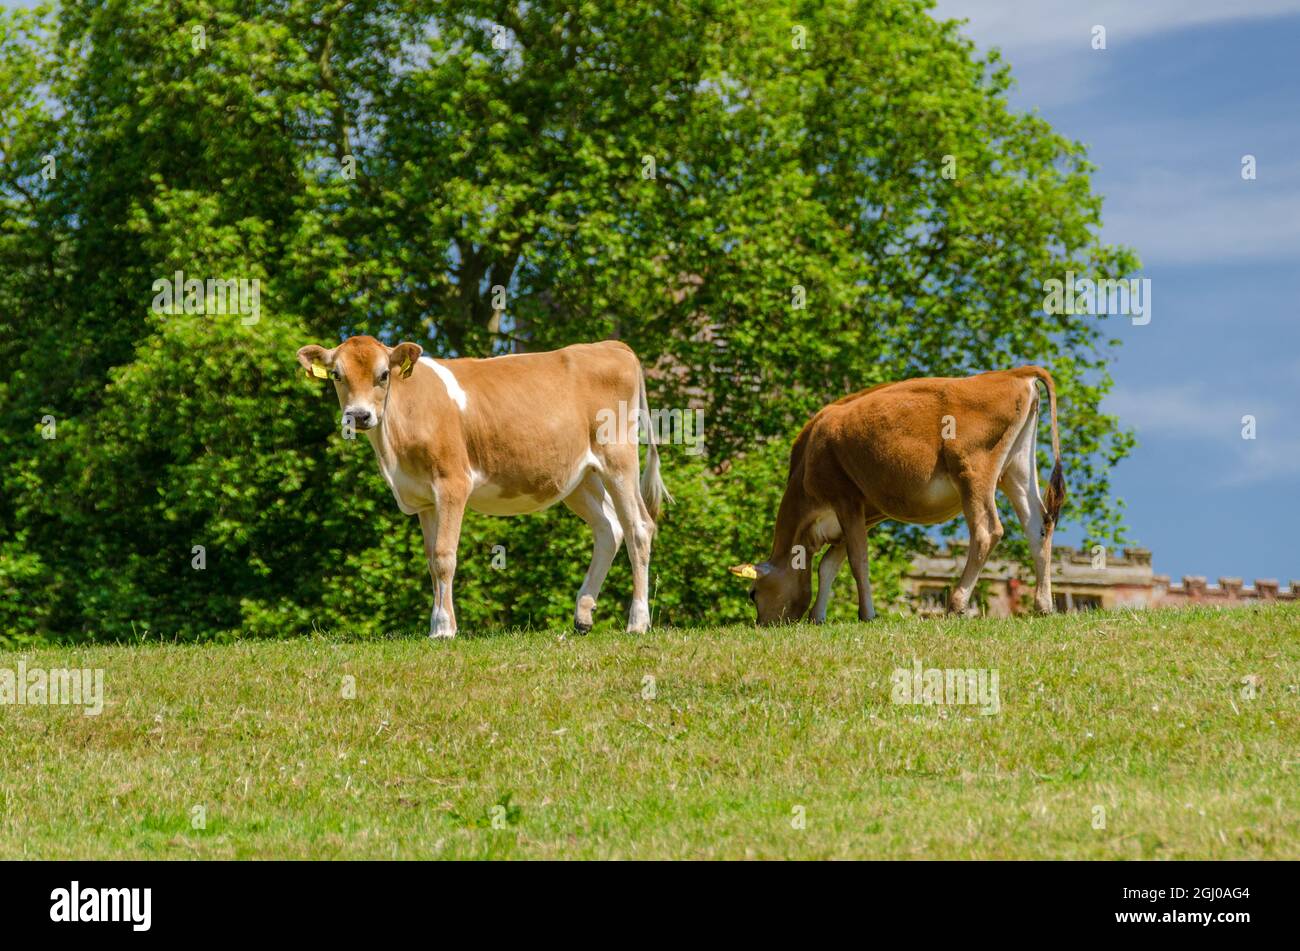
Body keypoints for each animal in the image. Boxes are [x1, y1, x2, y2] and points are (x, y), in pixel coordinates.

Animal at [296, 335, 670, 637]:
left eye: (383, 374)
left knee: (638, 527)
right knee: (609, 529)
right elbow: (431, 559)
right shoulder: (424, 499)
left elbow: (444, 556)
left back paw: (638, 622)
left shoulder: (452, 483)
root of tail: (608, 346)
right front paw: (437, 622)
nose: (358, 416)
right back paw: (583, 616)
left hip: (618, 457)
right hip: (579, 476)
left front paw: (444, 628)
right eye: (337, 375)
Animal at [729, 367, 1065, 624]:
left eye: (752, 593)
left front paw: (866, 615)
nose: (763, 625)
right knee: (1038, 527)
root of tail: (1013, 372)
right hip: (1016, 469)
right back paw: (1043, 606)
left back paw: (956, 604)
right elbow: (829, 565)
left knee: (987, 531)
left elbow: (857, 560)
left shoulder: (845, 497)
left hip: (972, 471)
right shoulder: (860, 513)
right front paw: (817, 617)